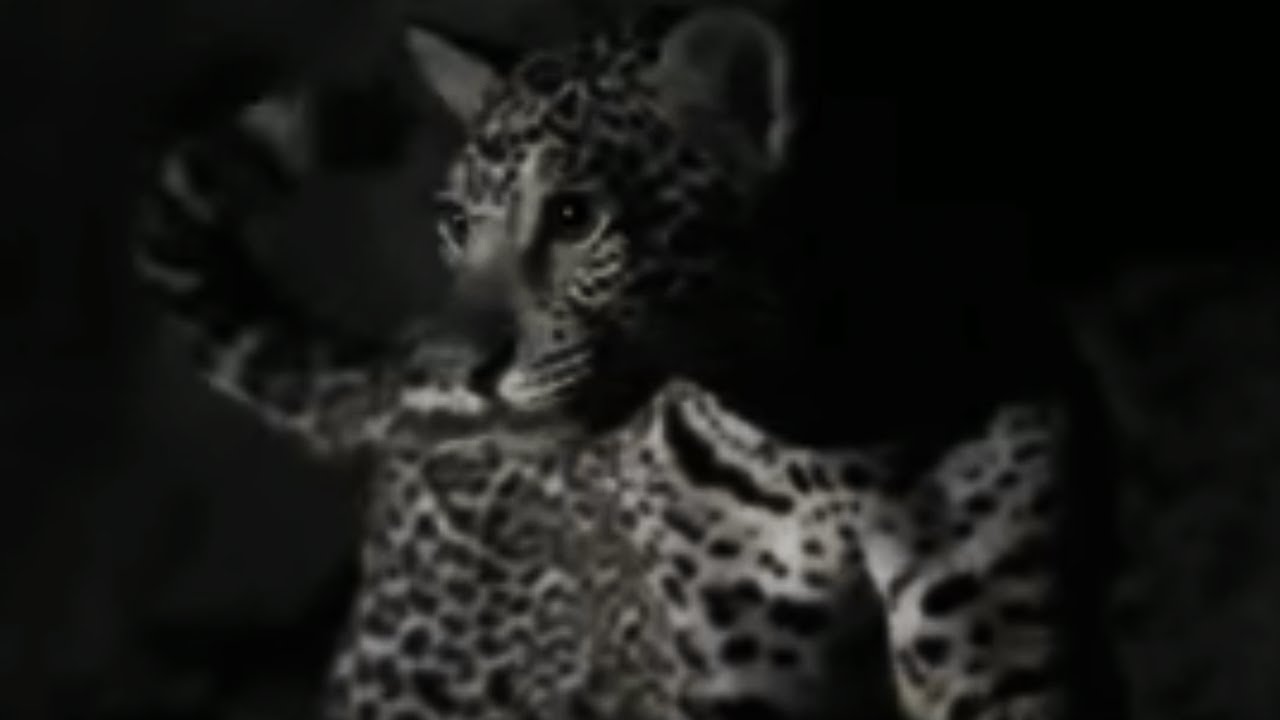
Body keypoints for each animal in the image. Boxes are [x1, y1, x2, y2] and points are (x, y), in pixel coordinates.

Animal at [131, 5, 1067, 720]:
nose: (459, 365)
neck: (826, 441)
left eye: (575, 218)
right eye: (456, 224)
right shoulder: (724, 675)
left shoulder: (997, 642)